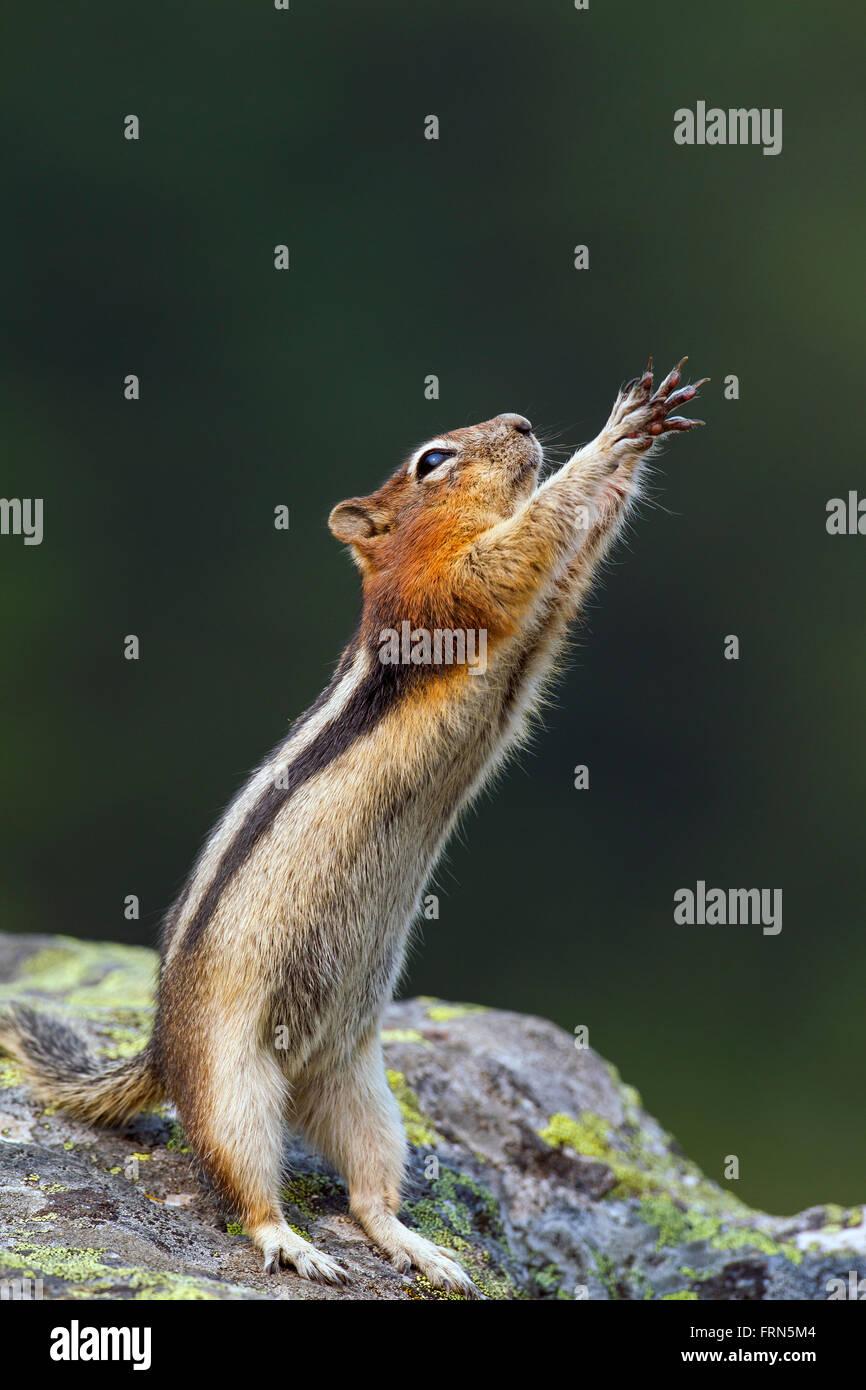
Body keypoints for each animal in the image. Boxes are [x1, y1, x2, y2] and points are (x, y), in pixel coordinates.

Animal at [0, 359, 705, 1294]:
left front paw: (633, 446)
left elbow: (568, 568)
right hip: (233, 1084)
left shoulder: (534, 634)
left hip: (365, 1092)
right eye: (432, 459)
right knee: (246, 1188)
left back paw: (421, 1249)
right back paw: (293, 1244)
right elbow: (523, 544)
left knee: (367, 1194)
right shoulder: (450, 592)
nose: (521, 422)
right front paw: (608, 441)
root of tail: (159, 1048)